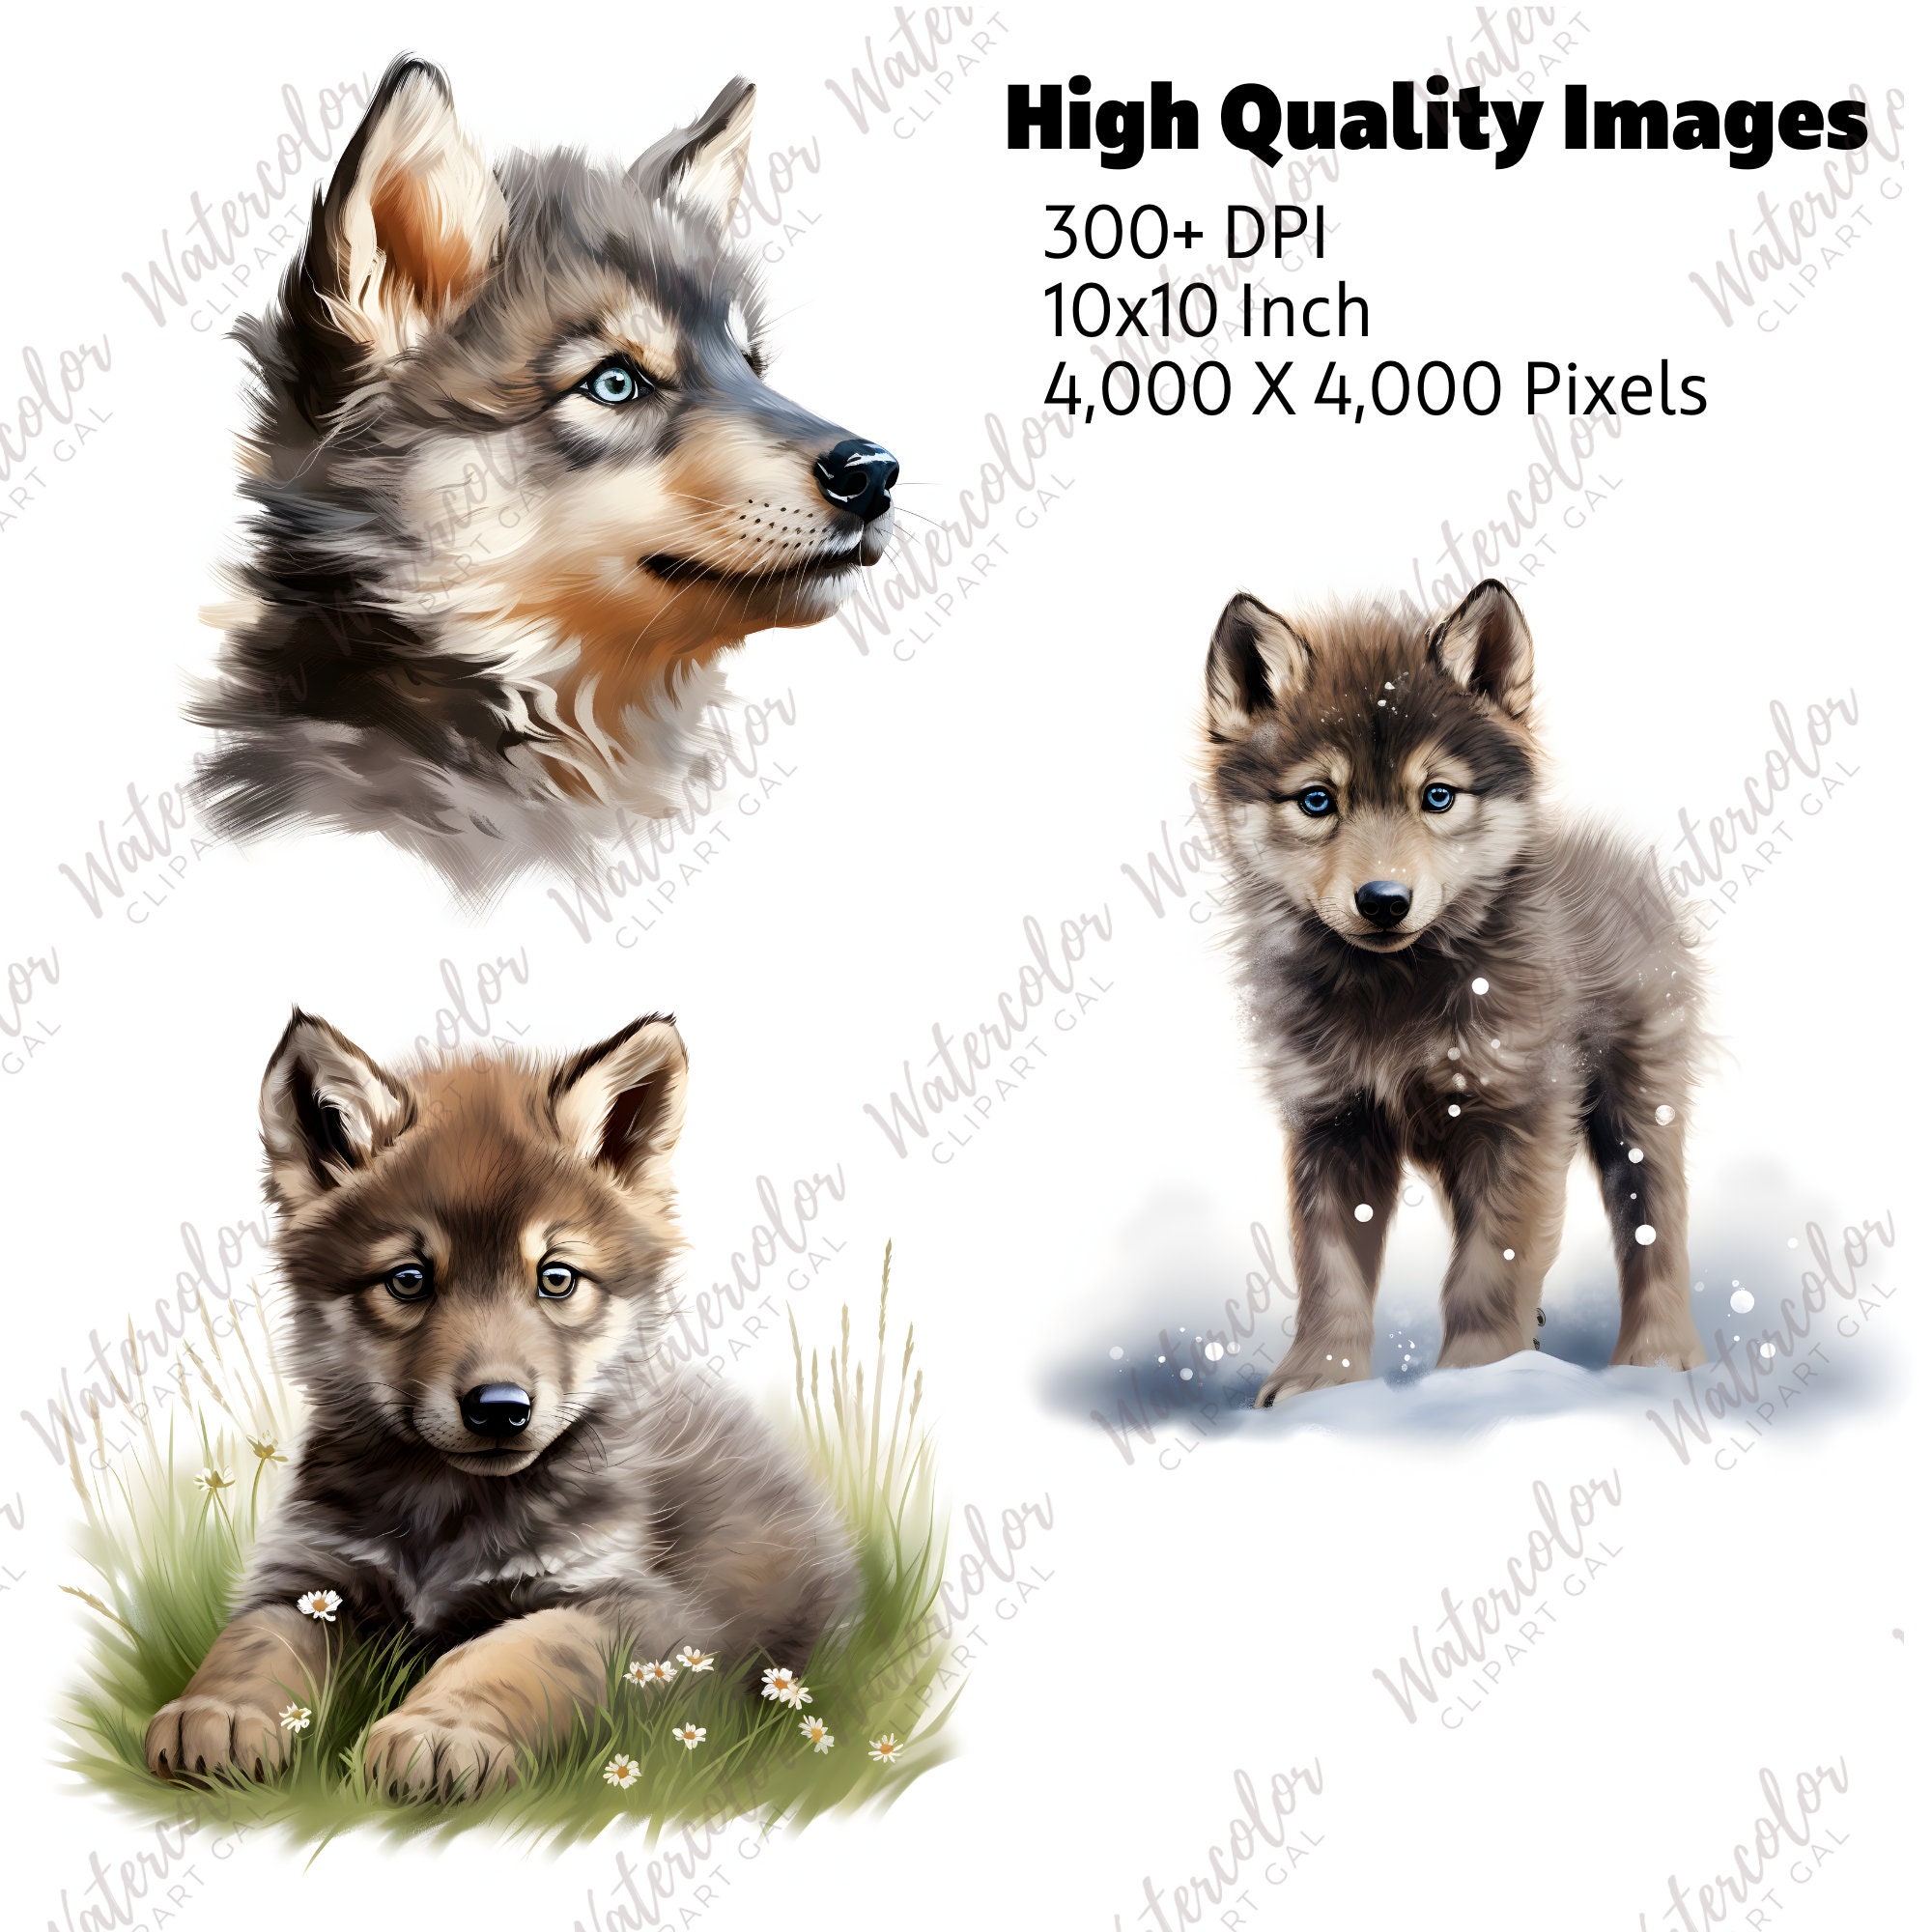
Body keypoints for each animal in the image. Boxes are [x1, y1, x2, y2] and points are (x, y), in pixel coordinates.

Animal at [143, 1012, 856, 1799]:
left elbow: (513, 1650)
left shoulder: (636, 1615)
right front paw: (219, 1711)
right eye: (409, 1279)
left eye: (556, 1277)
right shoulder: (310, 1578)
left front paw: (441, 1729)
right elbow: (256, 1642)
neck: (443, 1516)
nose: (499, 1408)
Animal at [1200, 579, 1708, 1407]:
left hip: (1635, 1108)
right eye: (1317, 801)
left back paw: (1658, 1352)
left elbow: (1488, 1268)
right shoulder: (1334, 1123)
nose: (1383, 901)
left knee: (1654, 1225)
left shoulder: (1519, 1115)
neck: (1392, 991)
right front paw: (1319, 1381)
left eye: (1437, 796)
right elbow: (1329, 1271)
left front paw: (1476, 1379)